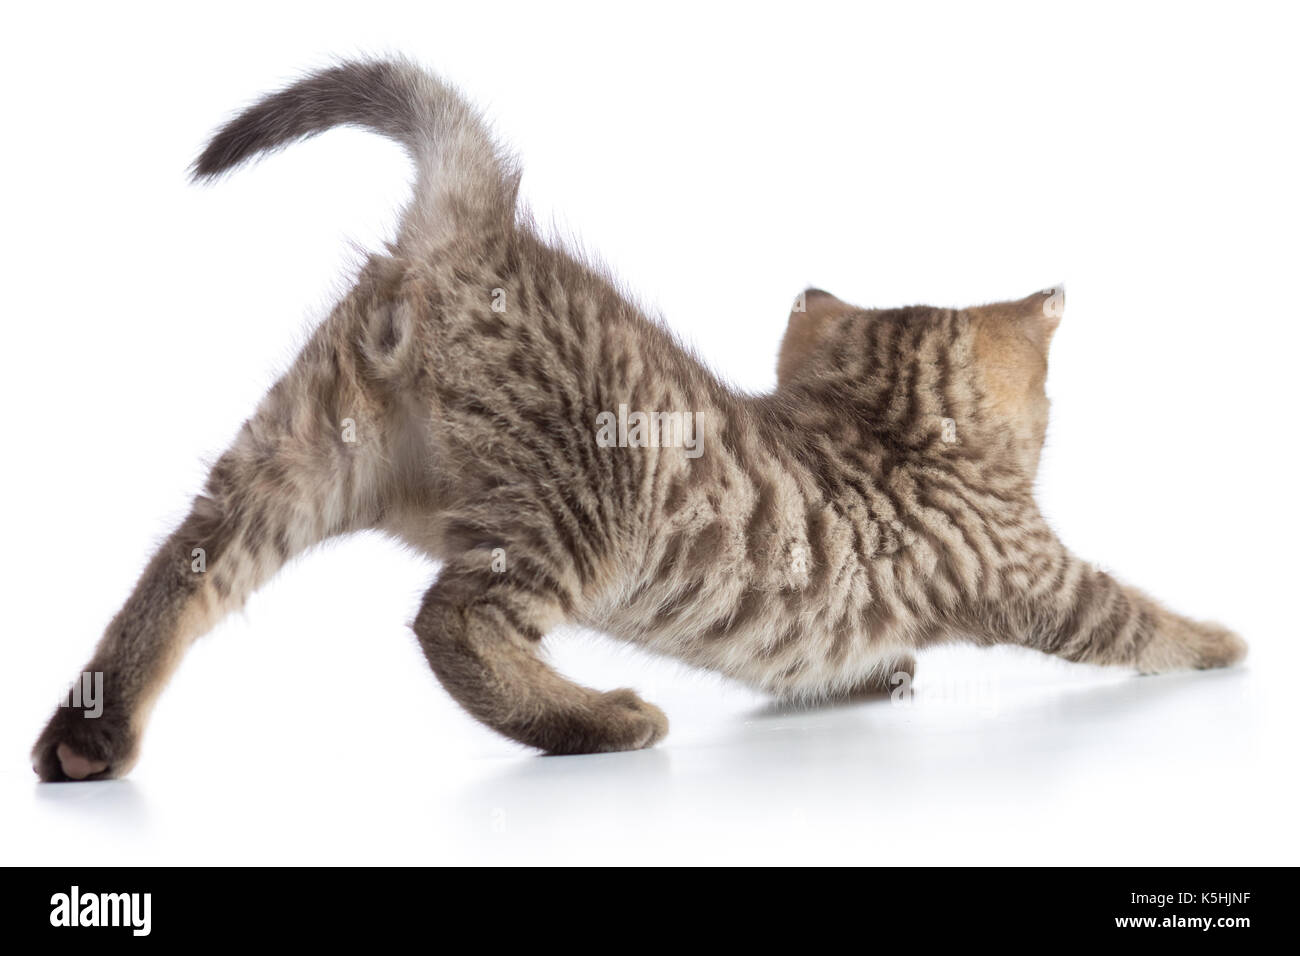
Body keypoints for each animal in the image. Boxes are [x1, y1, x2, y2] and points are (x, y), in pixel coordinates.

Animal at [32, 57, 1248, 780]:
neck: (884, 425)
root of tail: (472, 225)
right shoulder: (1034, 572)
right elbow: (1129, 612)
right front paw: (1220, 639)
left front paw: (873, 671)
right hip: (586, 506)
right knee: (451, 619)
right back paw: (604, 721)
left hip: (297, 454)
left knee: (181, 567)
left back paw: (91, 730)